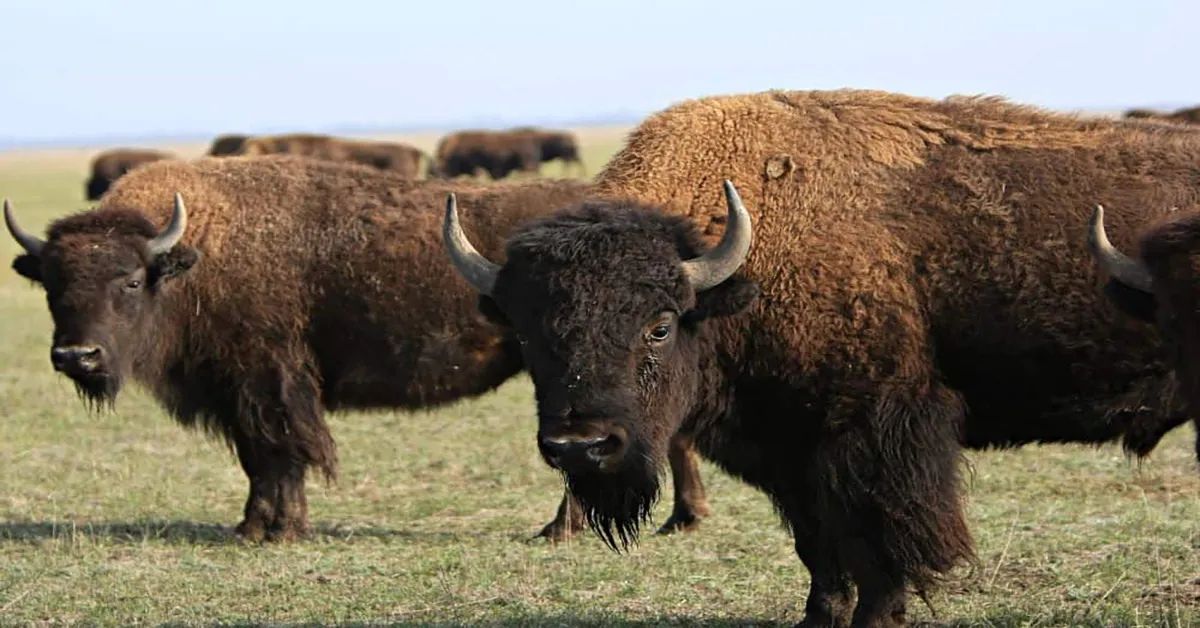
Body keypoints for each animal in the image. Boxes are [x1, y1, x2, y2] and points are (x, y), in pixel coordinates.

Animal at [5, 156, 604, 541]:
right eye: (51, 284)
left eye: (130, 281)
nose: (77, 356)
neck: (193, 255)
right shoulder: (236, 394)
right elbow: (258, 461)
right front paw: (250, 528)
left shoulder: (269, 383)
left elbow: (283, 452)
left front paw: (282, 530)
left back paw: (558, 531)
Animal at [445, 89, 1199, 626]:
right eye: (528, 334)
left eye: (659, 326)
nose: (582, 445)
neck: (743, 263)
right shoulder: (788, 451)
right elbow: (821, 551)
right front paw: (819, 617)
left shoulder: (876, 435)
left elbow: (883, 545)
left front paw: (878, 617)